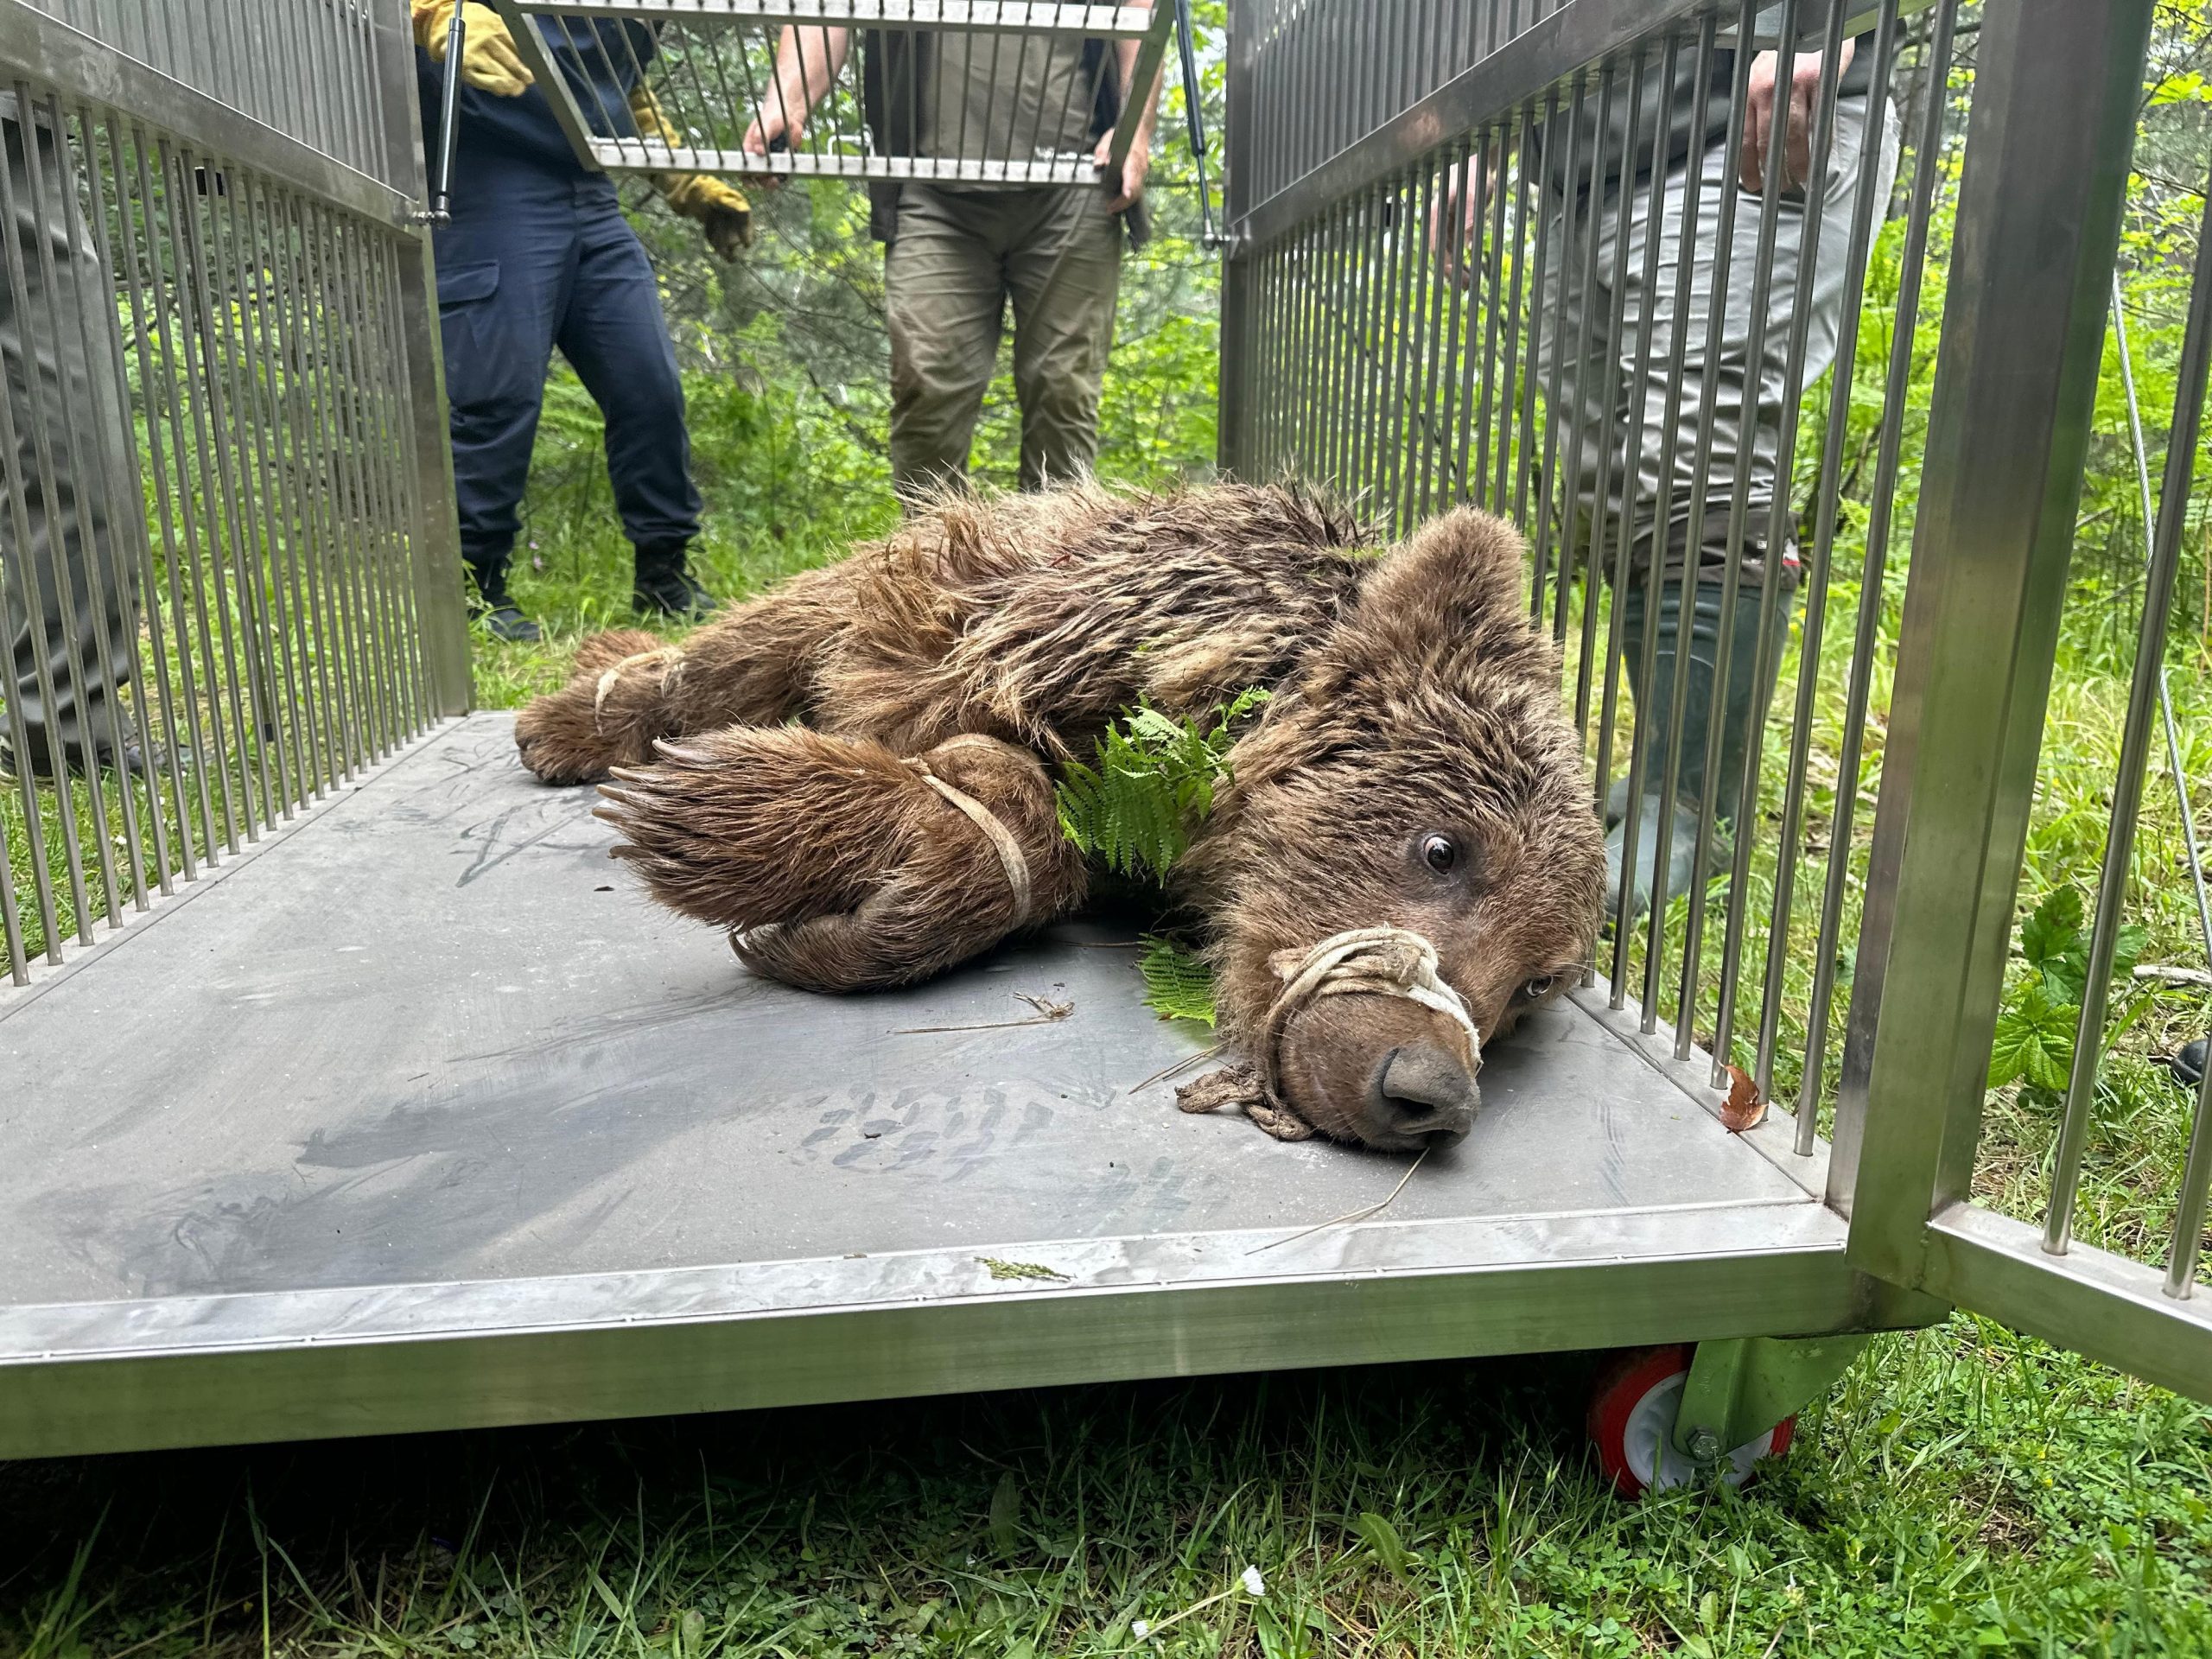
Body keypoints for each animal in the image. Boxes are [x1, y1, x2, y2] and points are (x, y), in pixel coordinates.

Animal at [516, 482, 1605, 1152]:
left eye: (1534, 984)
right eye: (1442, 849)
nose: (1429, 1093)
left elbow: (1029, 835)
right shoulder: (1013, 621)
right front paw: (722, 815)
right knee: (748, 639)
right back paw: (577, 713)